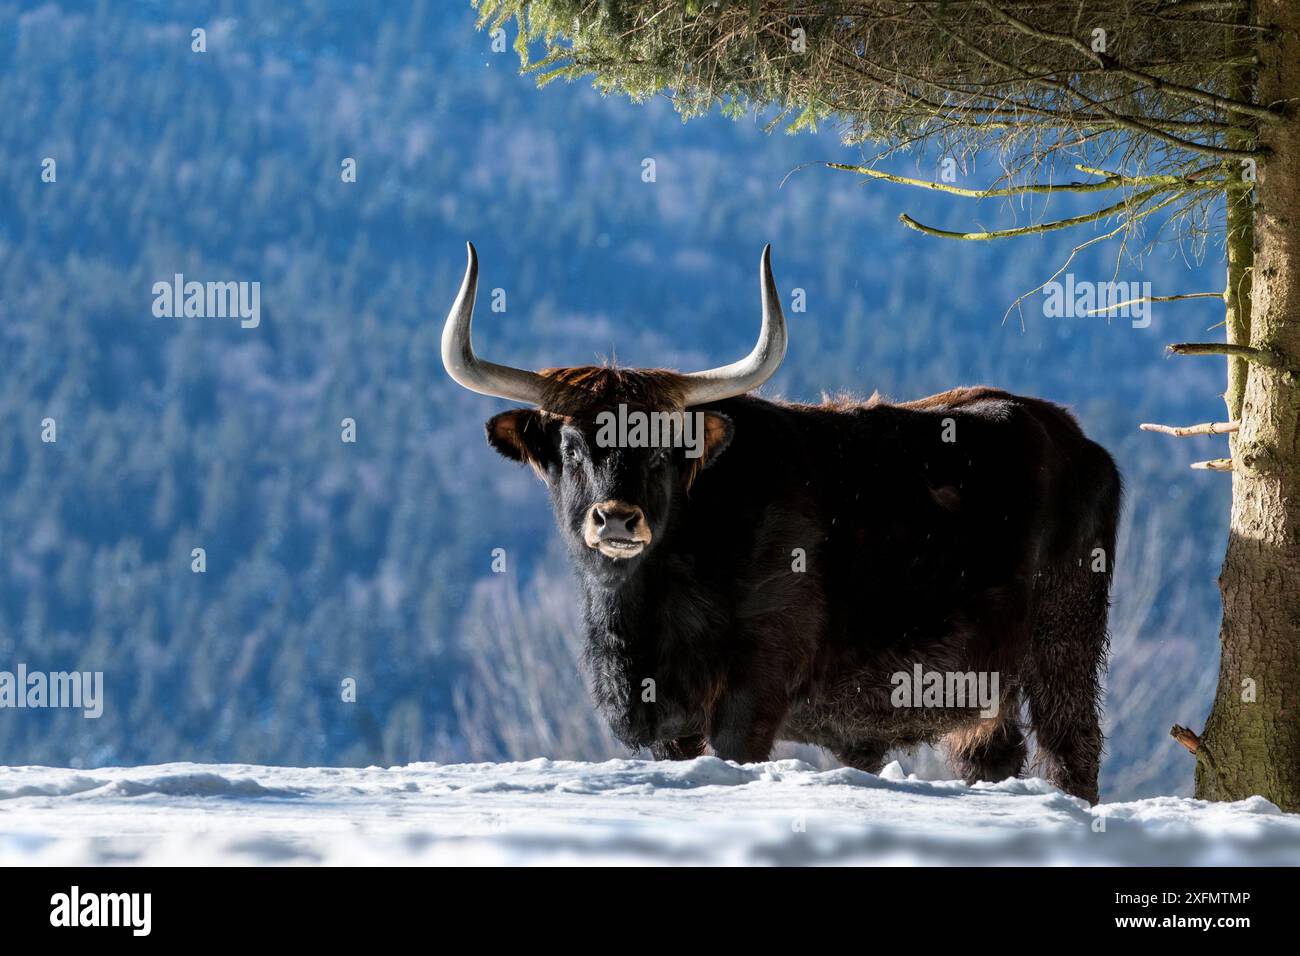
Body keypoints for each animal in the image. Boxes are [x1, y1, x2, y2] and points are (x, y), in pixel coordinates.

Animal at [442, 243, 1121, 803]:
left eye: (661, 450)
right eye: (574, 446)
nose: (616, 519)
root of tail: (1076, 438)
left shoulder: (752, 695)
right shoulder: (669, 720)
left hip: (1064, 649)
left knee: (1073, 751)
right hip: (985, 688)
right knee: (993, 755)